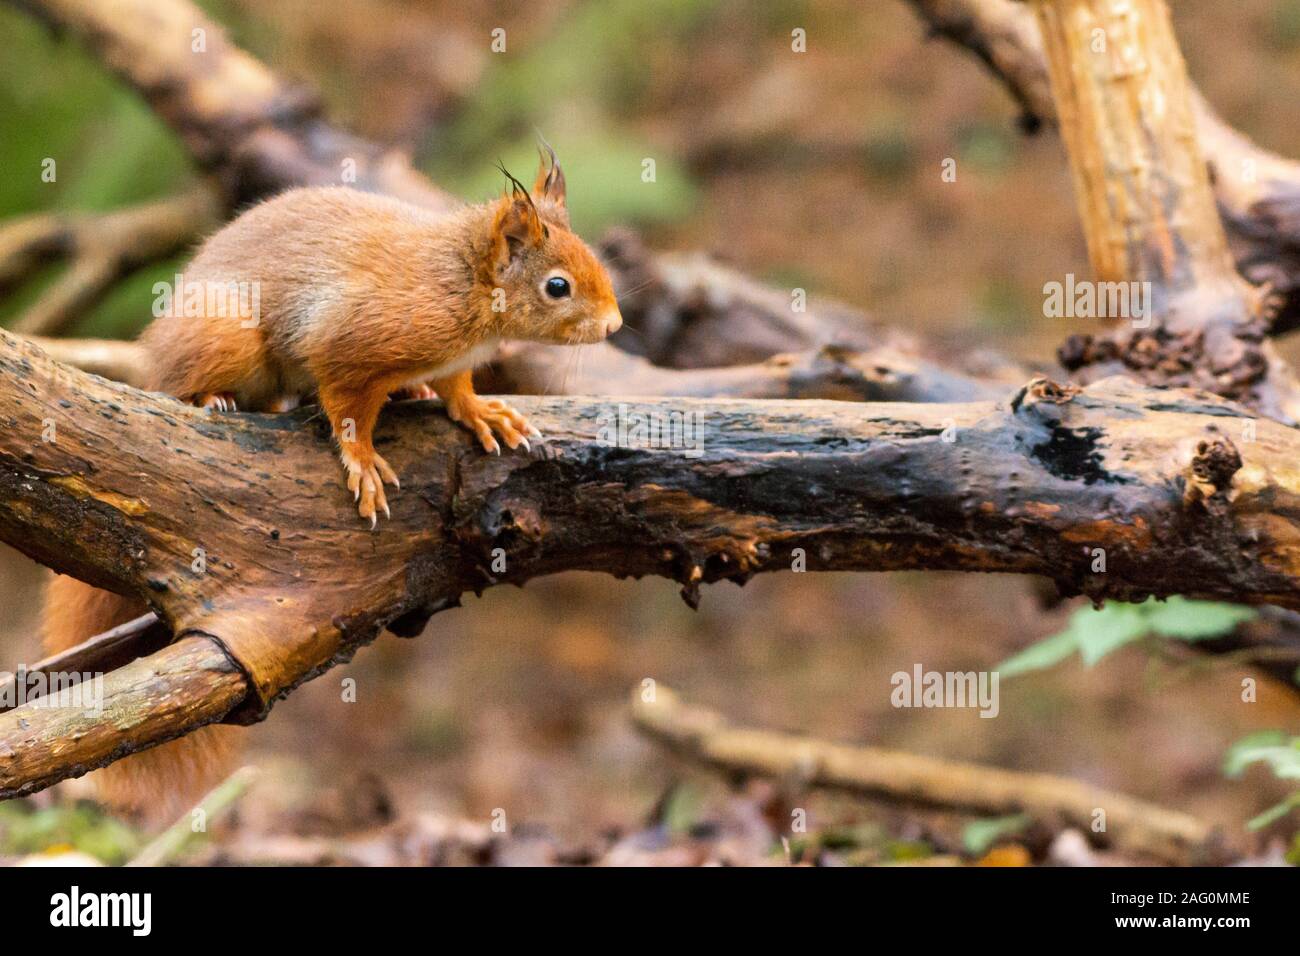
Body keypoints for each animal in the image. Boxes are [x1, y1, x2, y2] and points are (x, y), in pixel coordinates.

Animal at [42, 149, 622, 820]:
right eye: (557, 286)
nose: (615, 324)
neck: (461, 283)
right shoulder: (351, 343)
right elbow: (345, 405)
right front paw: (363, 462)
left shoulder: (452, 361)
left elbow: (456, 391)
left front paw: (483, 414)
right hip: (228, 338)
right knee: (195, 381)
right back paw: (209, 399)